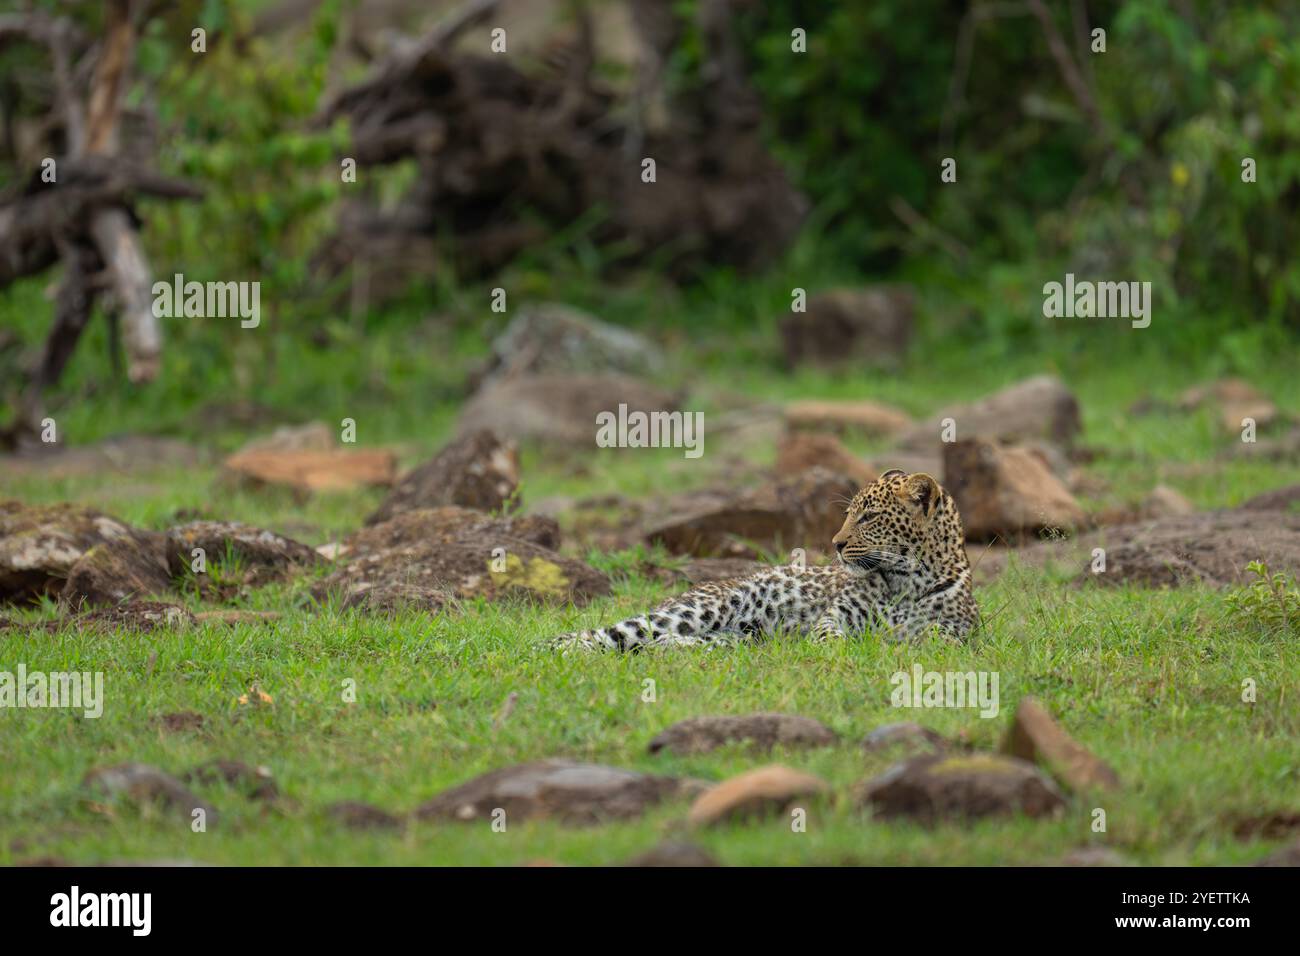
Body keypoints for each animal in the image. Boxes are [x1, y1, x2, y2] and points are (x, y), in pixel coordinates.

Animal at [548, 469, 978, 651]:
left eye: (869, 517)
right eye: (849, 514)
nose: (836, 544)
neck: (906, 578)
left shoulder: (965, 629)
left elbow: (938, 634)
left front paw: (900, 638)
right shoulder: (835, 615)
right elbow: (828, 632)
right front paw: (839, 647)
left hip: (733, 635)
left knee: (669, 642)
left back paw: (675, 649)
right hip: (700, 608)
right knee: (611, 633)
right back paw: (562, 649)